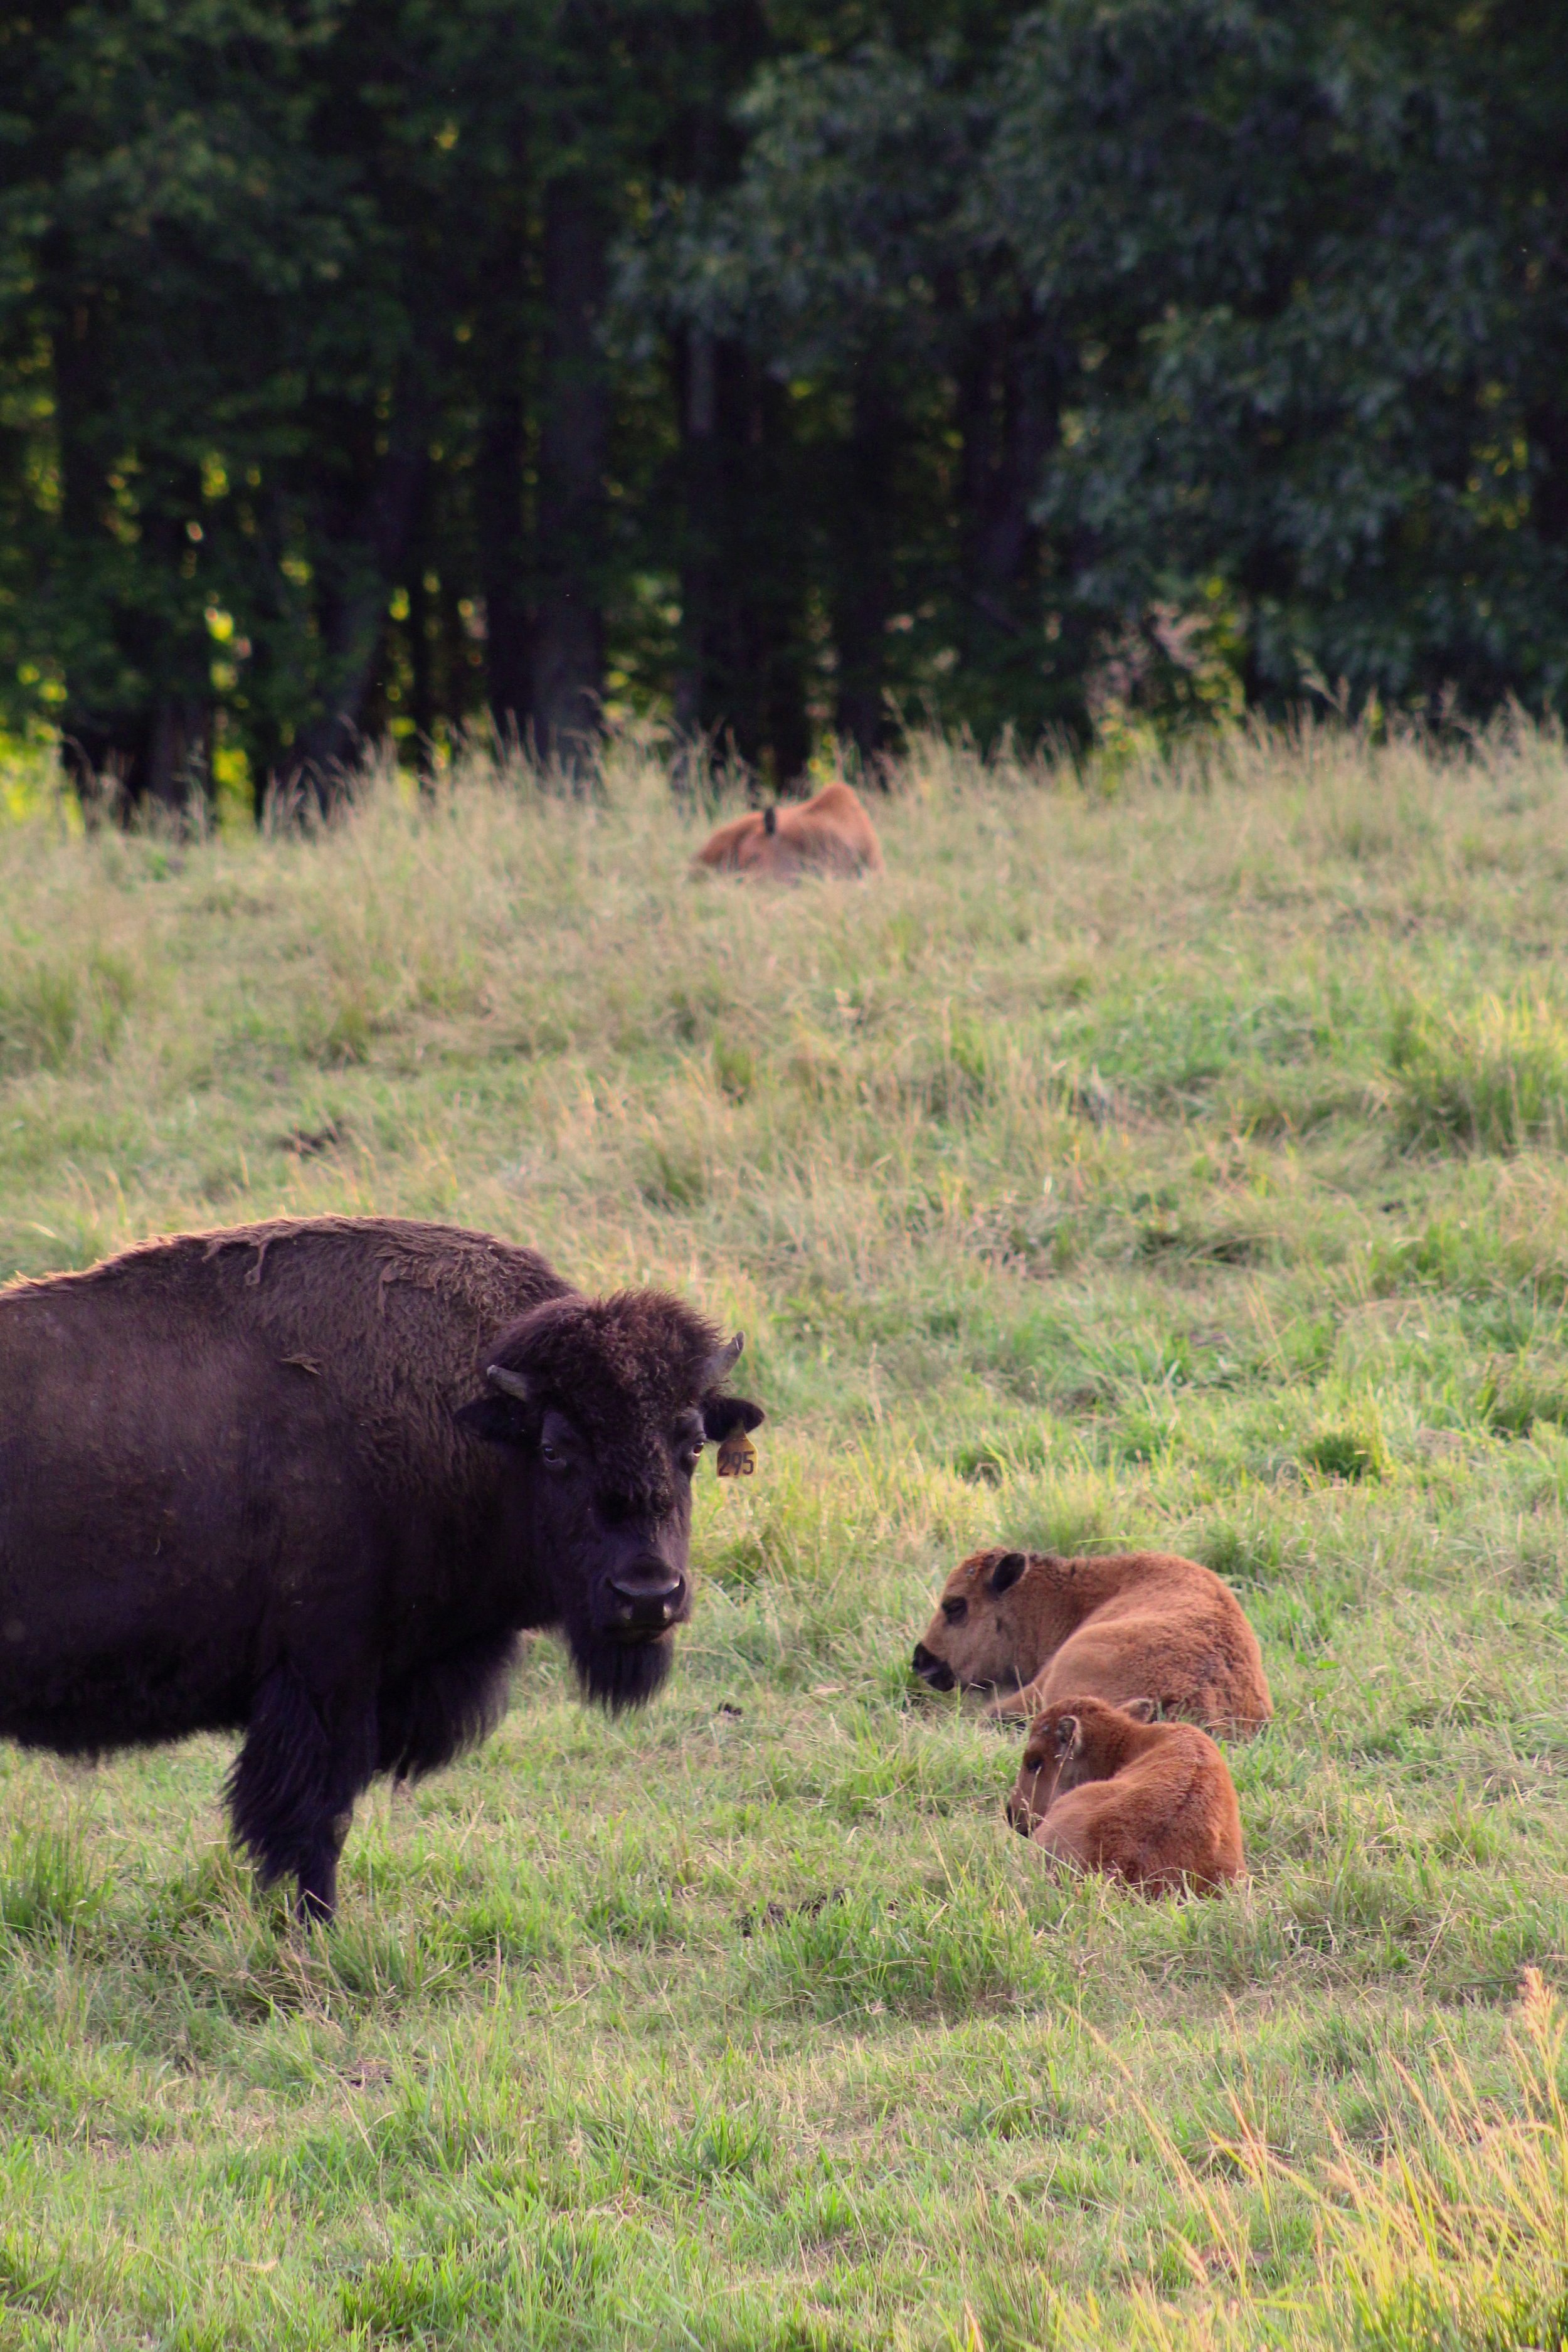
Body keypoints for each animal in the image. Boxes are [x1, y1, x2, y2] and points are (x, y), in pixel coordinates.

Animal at [0, 1216, 762, 1920]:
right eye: (554, 1449)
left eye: (693, 1444)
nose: (648, 1594)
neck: (465, 1422)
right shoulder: (327, 1679)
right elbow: (320, 1823)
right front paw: (317, 1932)